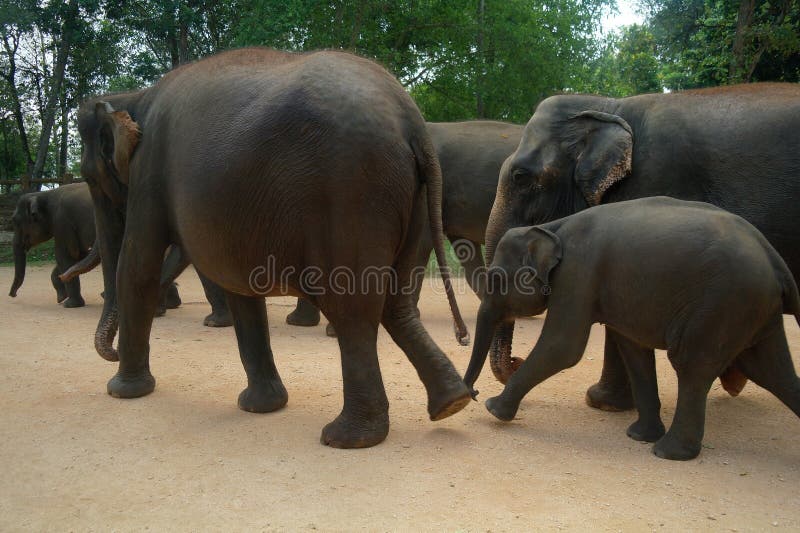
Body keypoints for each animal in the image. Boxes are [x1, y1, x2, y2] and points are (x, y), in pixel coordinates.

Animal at [77, 47, 472, 448]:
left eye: (89, 177)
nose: (111, 355)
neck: (134, 96)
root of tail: (412, 121)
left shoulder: (149, 171)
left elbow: (137, 266)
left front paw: (123, 392)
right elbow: (237, 286)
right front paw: (260, 407)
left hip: (353, 191)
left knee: (354, 309)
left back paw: (346, 438)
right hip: (411, 198)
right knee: (396, 302)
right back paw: (451, 402)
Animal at [464, 197, 800, 460]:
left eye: (496, 278)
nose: (474, 394)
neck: (554, 227)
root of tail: (775, 260)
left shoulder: (578, 272)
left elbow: (564, 346)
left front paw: (494, 410)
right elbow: (633, 350)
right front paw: (638, 435)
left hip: (725, 303)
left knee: (693, 364)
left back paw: (668, 453)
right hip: (751, 308)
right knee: (772, 371)